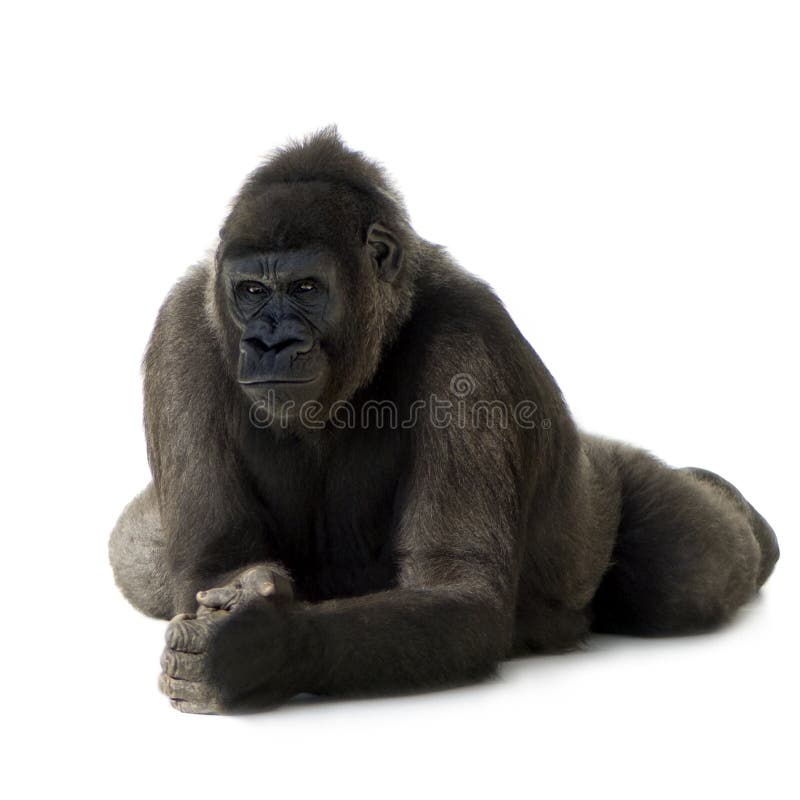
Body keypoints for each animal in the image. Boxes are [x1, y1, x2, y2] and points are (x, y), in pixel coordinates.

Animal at [109, 127, 779, 714]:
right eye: (250, 291)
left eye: (304, 288)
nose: (269, 343)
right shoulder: (181, 328)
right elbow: (219, 558)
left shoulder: (470, 341)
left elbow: (459, 592)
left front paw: (264, 650)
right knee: (136, 553)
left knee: (686, 569)